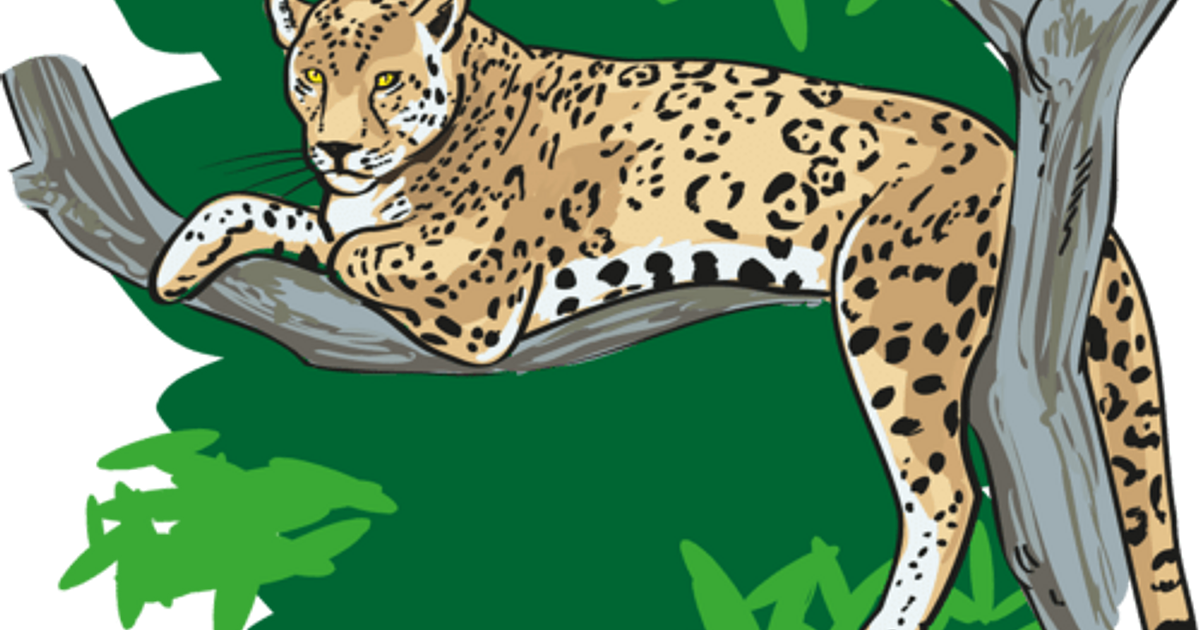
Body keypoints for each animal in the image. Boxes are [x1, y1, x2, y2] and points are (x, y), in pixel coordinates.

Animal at [148, 0, 1189, 628]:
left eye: (389, 82)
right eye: (311, 79)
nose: (333, 148)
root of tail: (1005, 148)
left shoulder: (471, 290)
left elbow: (343, 239)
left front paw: (211, 247)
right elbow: (298, 212)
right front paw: (188, 247)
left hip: (895, 315)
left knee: (941, 493)